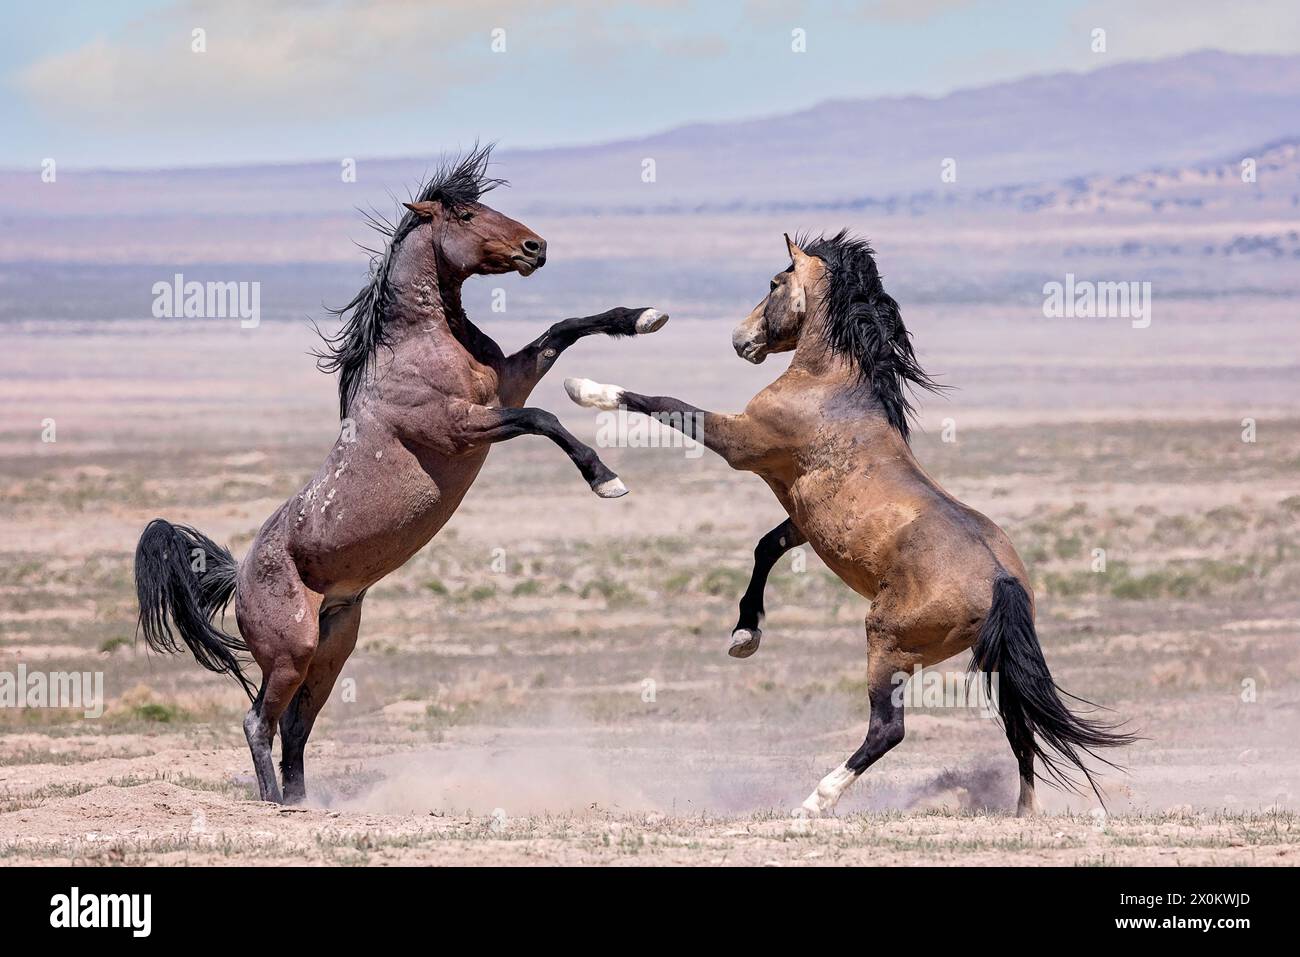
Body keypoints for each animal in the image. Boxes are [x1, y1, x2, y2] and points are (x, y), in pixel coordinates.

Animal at [134, 145, 668, 804]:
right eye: (465, 214)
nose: (536, 247)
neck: (422, 344)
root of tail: (240, 574)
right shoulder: (462, 426)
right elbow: (543, 417)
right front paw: (605, 477)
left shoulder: (508, 385)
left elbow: (563, 330)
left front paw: (643, 317)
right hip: (291, 652)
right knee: (258, 720)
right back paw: (274, 803)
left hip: (333, 649)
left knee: (295, 726)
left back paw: (304, 804)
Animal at [564, 230, 1132, 817]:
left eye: (774, 283)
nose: (740, 338)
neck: (833, 387)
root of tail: (1002, 580)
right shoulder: (804, 518)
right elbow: (766, 546)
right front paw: (745, 633)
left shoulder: (740, 444)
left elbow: (666, 403)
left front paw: (584, 388)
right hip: (992, 660)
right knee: (1020, 730)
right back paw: (1022, 812)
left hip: (888, 643)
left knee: (888, 729)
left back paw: (815, 801)